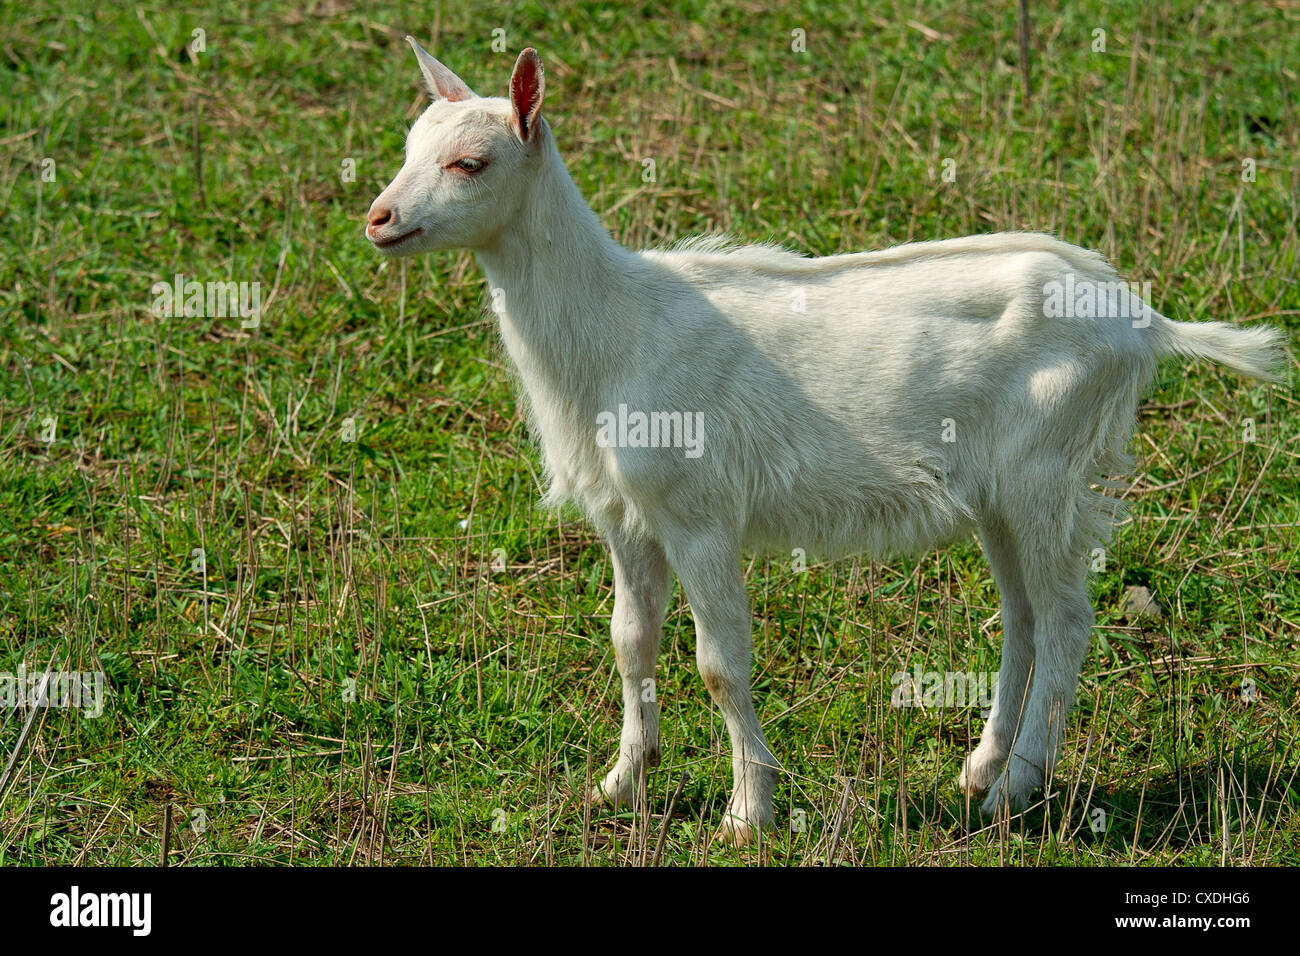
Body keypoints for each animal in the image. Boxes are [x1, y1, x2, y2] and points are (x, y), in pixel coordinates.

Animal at [366, 40, 1286, 844]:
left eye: (471, 163)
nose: (379, 218)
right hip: (999, 492)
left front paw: (748, 813)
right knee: (1022, 613)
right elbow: (631, 642)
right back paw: (980, 767)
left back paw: (1016, 789)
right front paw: (620, 783)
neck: (615, 330)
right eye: (410, 146)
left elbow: (719, 662)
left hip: (1045, 469)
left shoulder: (700, 513)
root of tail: (1141, 318)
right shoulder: (626, 513)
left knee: (1065, 619)